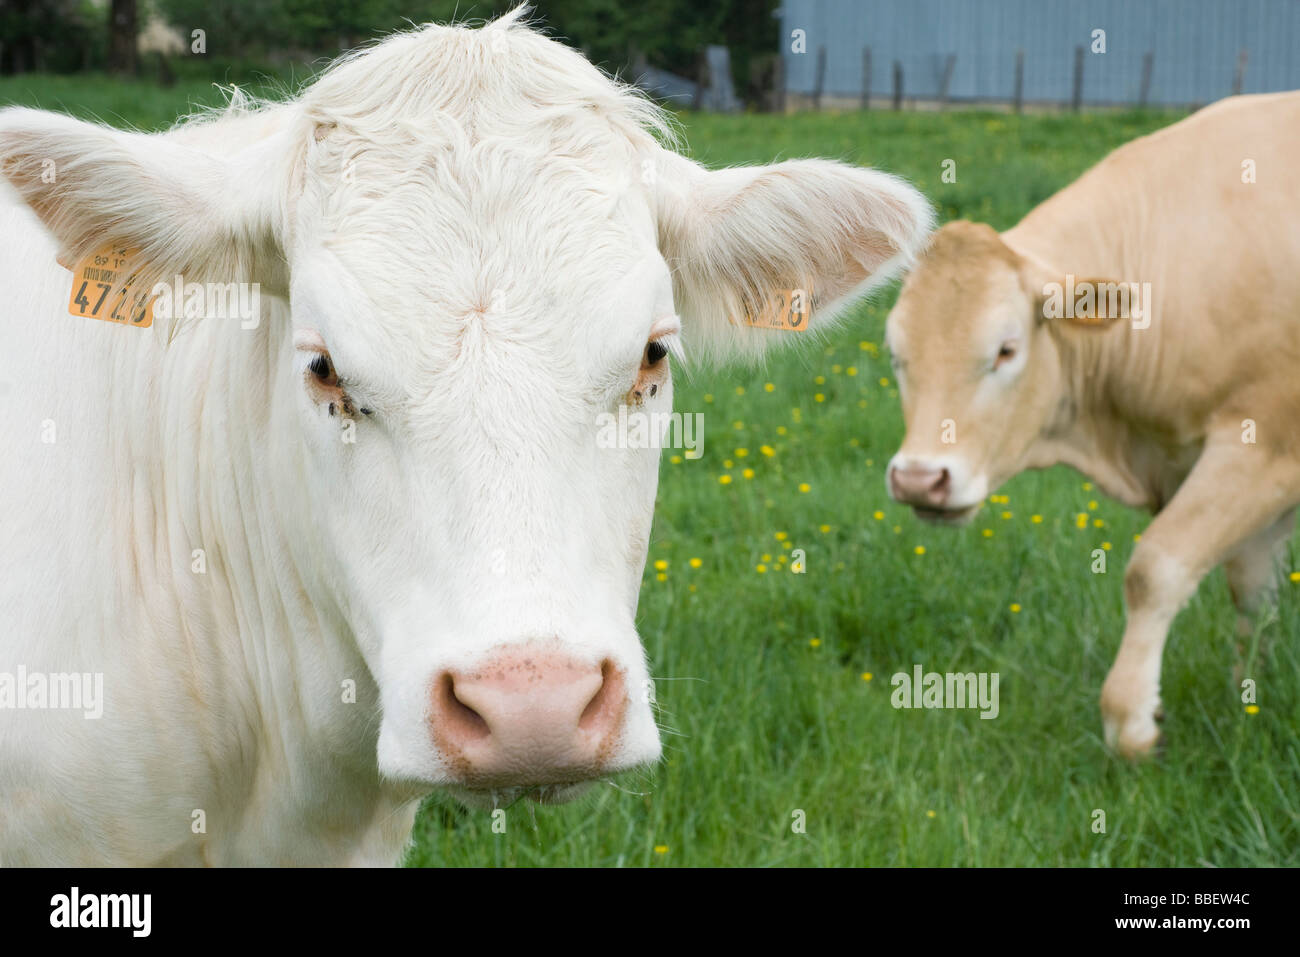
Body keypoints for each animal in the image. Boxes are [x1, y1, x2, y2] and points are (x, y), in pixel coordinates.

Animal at [883, 91, 1300, 760]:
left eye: (1006, 350)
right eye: (896, 355)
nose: (921, 480)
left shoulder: (1263, 446)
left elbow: (1155, 569)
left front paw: (1131, 722)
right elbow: (1252, 589)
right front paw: (1251, 693)